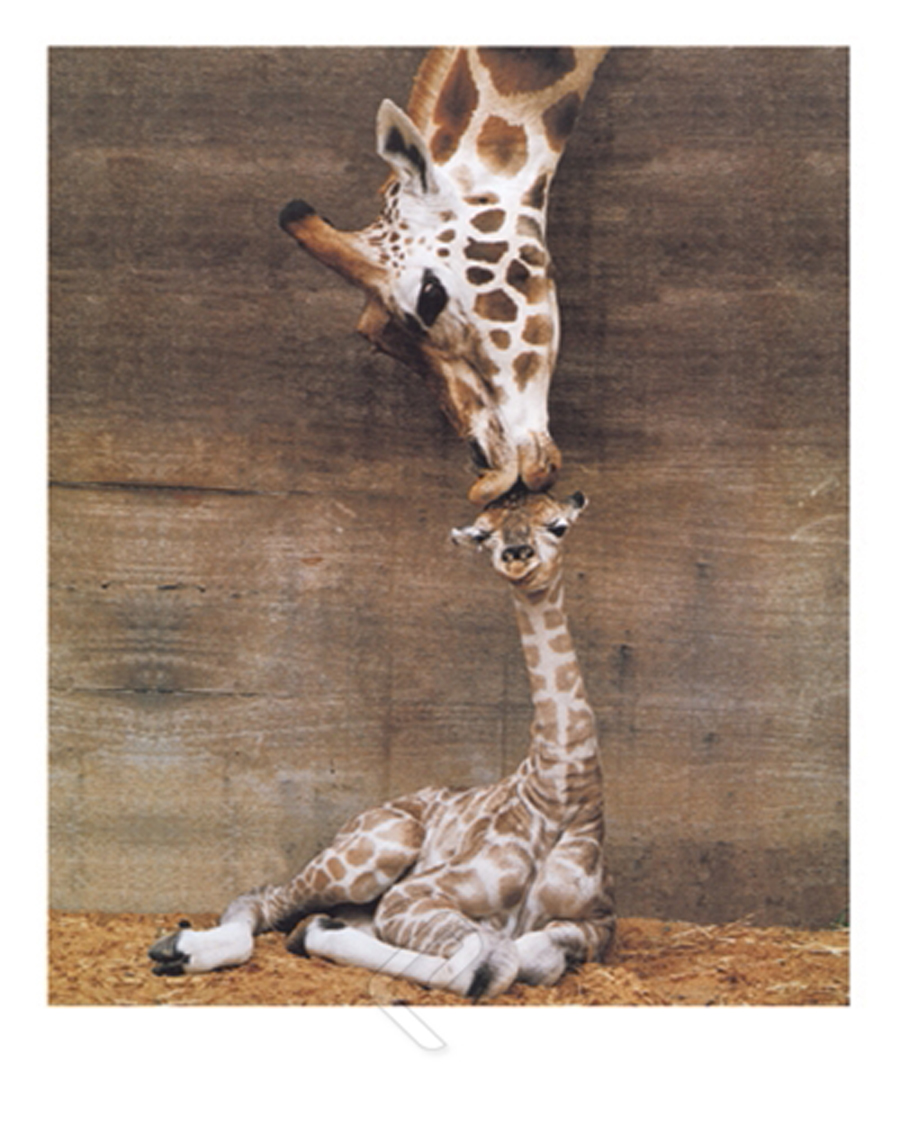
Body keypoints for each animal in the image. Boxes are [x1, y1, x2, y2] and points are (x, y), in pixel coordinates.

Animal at [149, 487, 614, 999]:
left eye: (558, 526)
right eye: (483, 535)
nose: (517, 555)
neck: (561, 793)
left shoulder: (600, 923)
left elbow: (535, 956)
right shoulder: (411, 894)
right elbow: (491, 962)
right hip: (380, 847)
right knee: (264, 898)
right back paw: (180, 948)